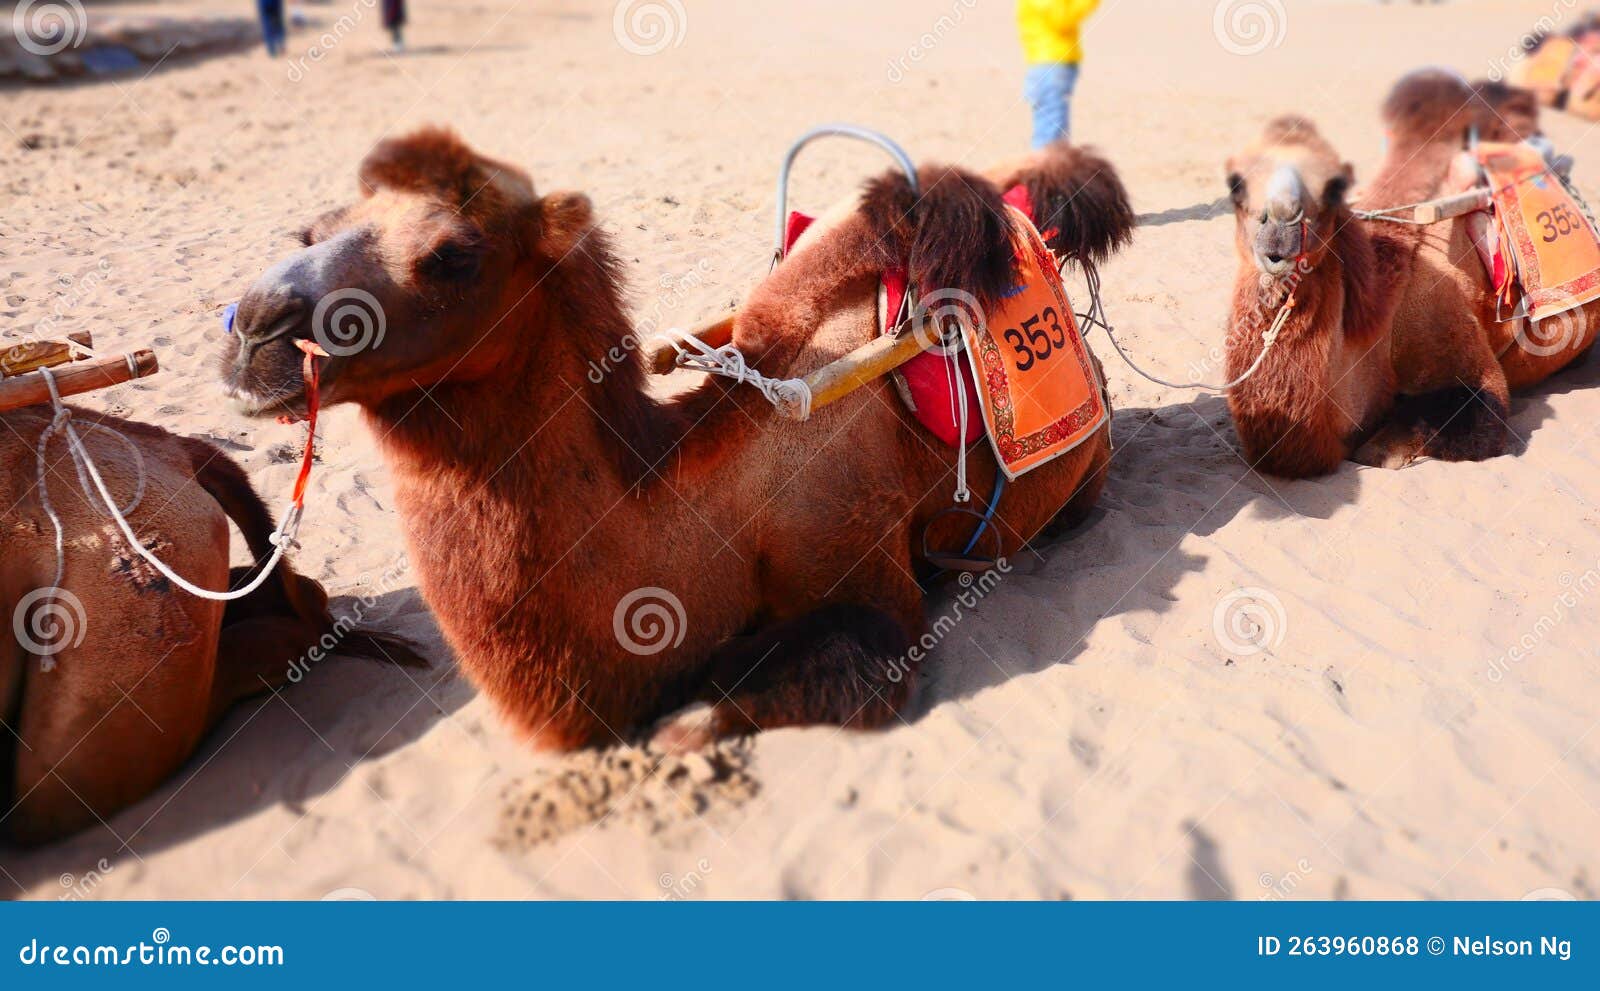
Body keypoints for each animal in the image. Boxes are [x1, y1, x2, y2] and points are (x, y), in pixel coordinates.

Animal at [218, 127, 1134, 750]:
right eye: (310, 231)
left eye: (453, 253)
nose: (252, 328)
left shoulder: (875, 579)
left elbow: (779, 687)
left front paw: (687, 719)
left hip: (1087, 472)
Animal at [1221, 71, 1600, 477]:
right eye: (1235, 183)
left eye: (1335, 186)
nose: (1279, 233)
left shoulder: (1454, 336)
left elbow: (1399, 445)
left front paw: (1384, 447)